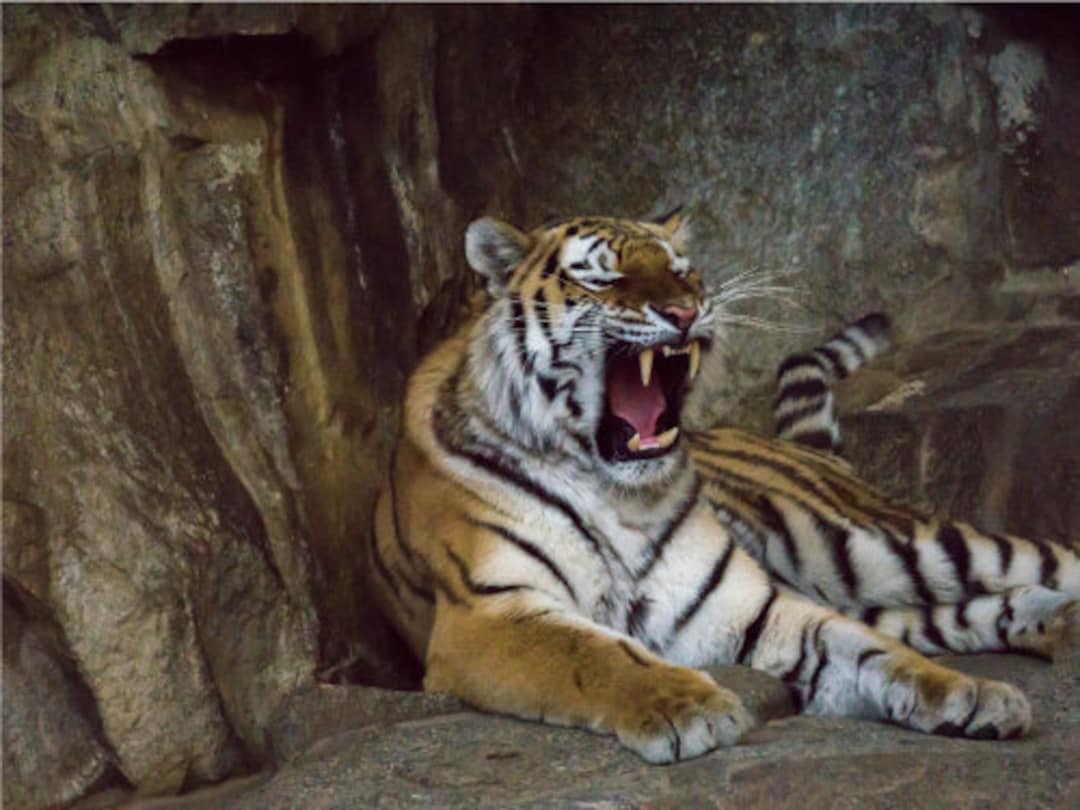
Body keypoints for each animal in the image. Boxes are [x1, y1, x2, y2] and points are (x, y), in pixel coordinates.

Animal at [369, 210, 1080, 763]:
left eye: (683, 270)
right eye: (602, 275)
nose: (686, 311)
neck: (616, 493)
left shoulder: (746, 605)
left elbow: (869, 651)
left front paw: (967, 691)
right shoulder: (488, 612)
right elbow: (597, 655)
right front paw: (688, 708)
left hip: (880, 545)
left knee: (1031, 565)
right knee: (962, 609)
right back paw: (1060, 626)